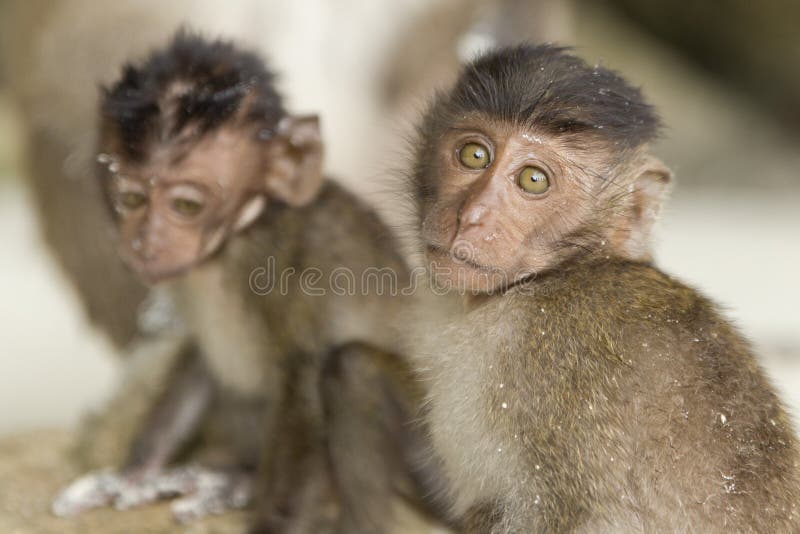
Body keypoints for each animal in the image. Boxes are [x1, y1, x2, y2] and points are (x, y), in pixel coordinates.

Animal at [50, 31, 444, 532]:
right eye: (132, 199)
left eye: (186, 206)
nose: (145, 242)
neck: (237, 239)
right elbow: (201, 358)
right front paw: (134, 471)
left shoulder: (288, 265)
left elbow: (301, 381)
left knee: (349, 368)